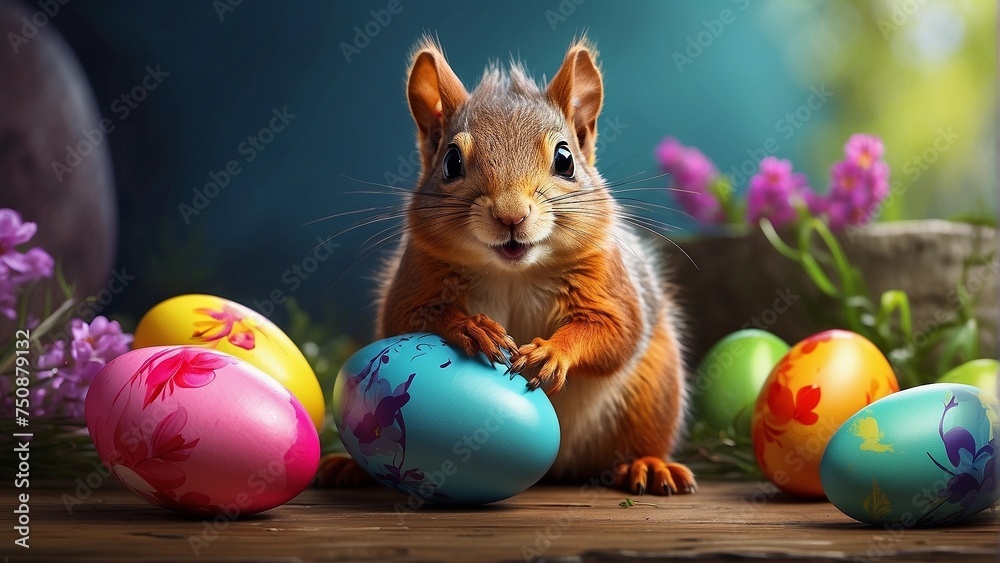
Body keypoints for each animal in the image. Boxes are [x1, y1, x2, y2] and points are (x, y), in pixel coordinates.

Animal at [322, 36, 696, 496]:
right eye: (451, 162)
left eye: (565, 159)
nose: (511, 215)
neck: (513, 272)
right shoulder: (419, 276)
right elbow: (409, 318)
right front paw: (470, 327)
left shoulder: (608, 281)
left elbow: (615, 330)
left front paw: (552, 351)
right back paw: (349, 468)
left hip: (654, 392)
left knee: (642, 439)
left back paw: (650, 465)